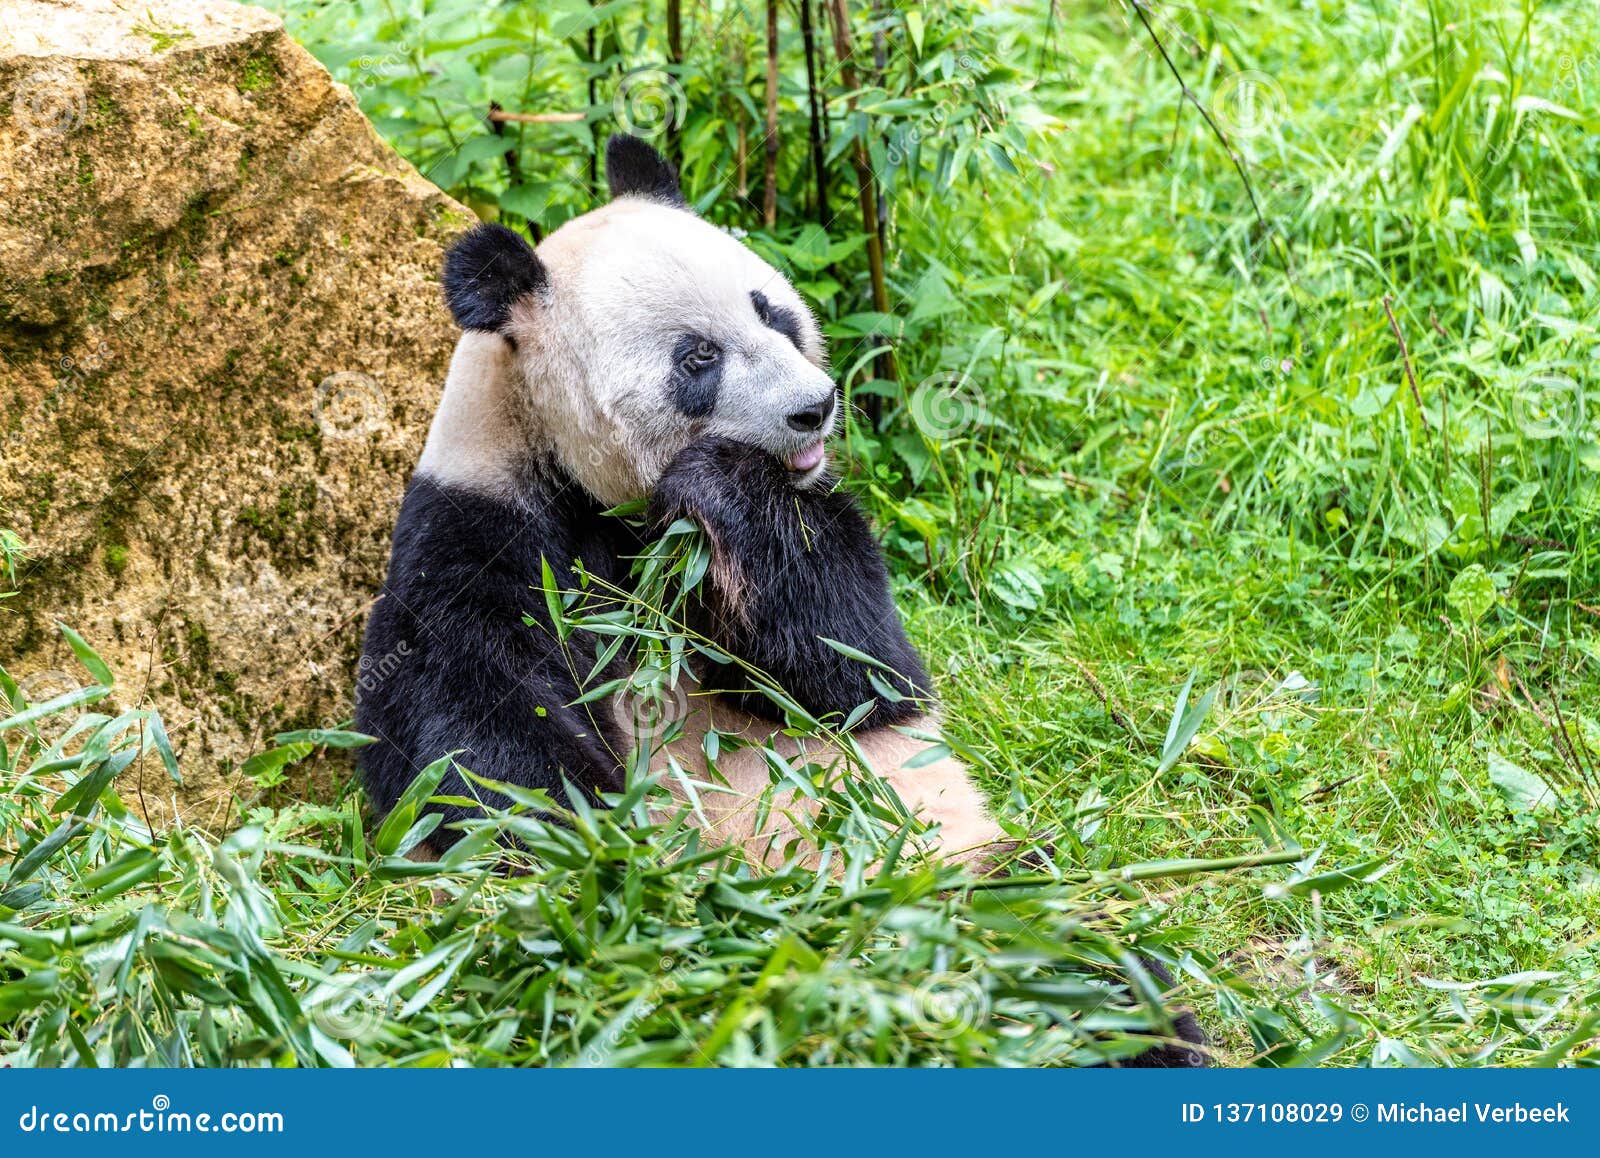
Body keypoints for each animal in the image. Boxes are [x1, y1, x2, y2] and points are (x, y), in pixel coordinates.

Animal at [355, 134, 1206, 1064]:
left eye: (771, 311)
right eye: (697, 358)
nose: (815, 408)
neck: (600, 494)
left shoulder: (804, 528)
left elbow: (860, 670)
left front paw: (725, 485)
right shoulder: (478, 534)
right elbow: (480, 747)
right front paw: (606, 876)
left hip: (946, 865)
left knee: (1064, 948)